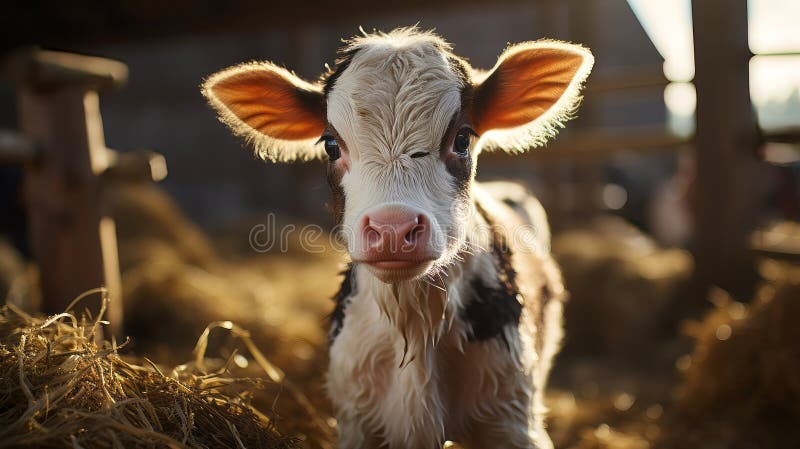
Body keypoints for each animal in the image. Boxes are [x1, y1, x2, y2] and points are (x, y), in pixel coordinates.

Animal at [202, 27, 593, 449]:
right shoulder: (356, 419)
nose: (393, 229)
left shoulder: (512, 417)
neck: (414, 326)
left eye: (462, 139)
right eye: (331, 144)